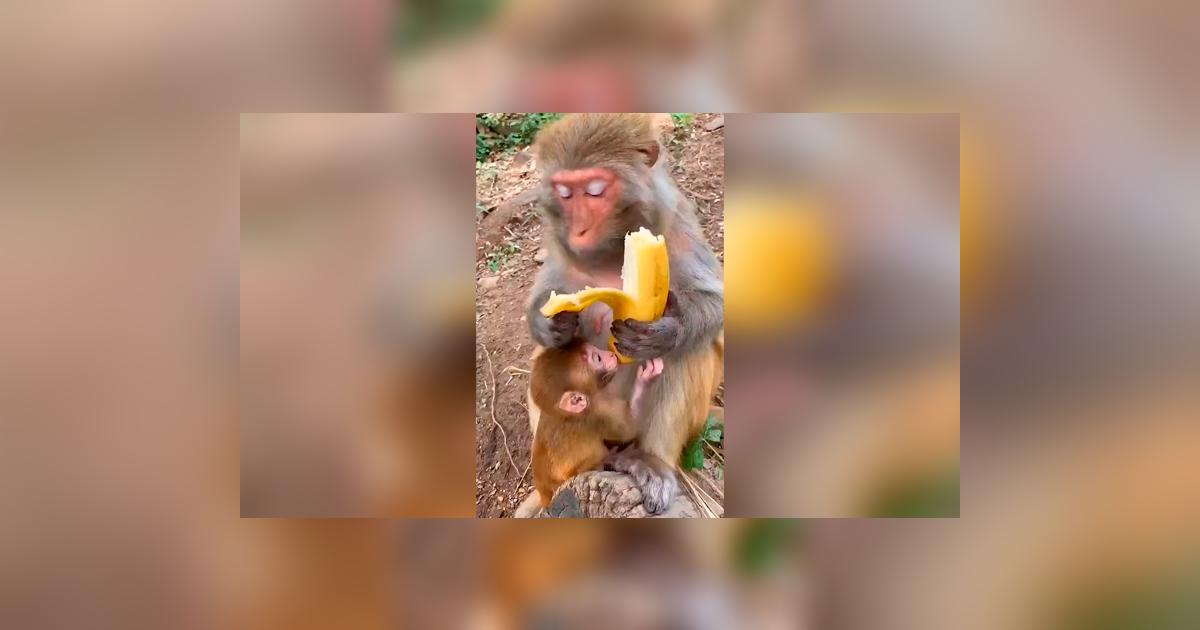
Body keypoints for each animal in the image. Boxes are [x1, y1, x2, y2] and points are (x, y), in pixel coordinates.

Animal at [530, 338, 664, 508]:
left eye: (594, 349)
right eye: (597, 358)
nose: (611, 355)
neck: (566, 415)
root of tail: (545, 495)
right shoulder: (598, 413)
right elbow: (630, 427)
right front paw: (647, 377)